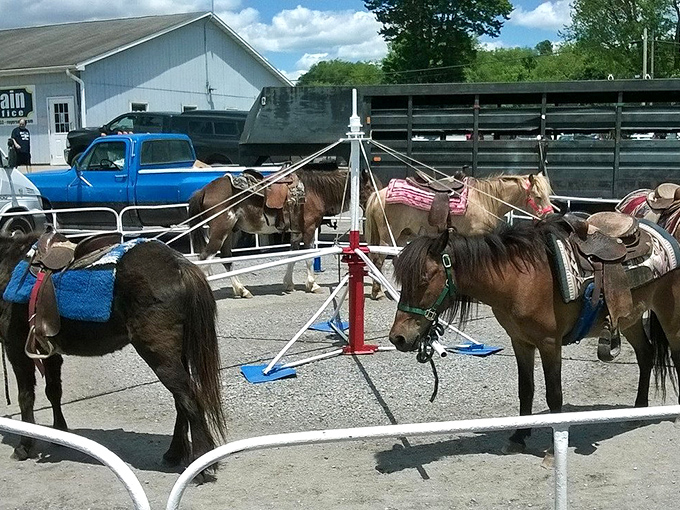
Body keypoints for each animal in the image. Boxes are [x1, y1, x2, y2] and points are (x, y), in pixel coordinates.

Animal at [0, 233, 226, 483]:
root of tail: (179, 266)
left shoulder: (16, 349)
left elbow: (26, 397)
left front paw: (25, 445)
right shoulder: (49, 351)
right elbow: (53, 392)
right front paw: (59, 434)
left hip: (161, 357)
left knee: (189, 400)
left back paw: (201, 465)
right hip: (178, 355)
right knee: (181, 402)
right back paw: (174, 454)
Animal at [189, 166, 378, 298]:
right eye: (370, 187)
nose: (377, 202)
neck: (314, 191)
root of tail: (204, 190)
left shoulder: (295, 232)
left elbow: (292, 256)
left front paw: (288, 283)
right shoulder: (309, 229)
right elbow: (309, 257)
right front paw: (312, 285)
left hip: (229, 232)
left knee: (226, 258)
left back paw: (242, 290)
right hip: (220, 230)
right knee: (205, 258)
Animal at [365, 172, 554, 300]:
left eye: (547, 195)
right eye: (538, 196)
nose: (549, 216)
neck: (485, 199)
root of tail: (378, 194)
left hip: (402, 236)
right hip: (388, 236)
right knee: (379, 260)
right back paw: (377, 292)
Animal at [387, 217, 680, 458]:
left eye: (423, 279)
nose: (398, 338)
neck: (518, 281)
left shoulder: (550, 344)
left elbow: (554, 395)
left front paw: (553, 447)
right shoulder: (521, 342)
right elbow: (525, 390)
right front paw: (518, 437)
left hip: (669, 316)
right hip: (630, 318)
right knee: (646, 355)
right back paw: (639, 410)